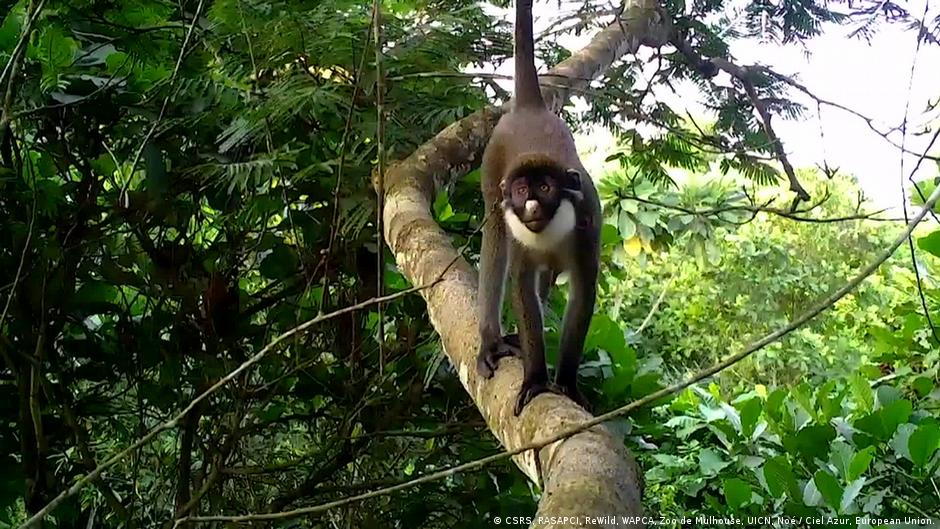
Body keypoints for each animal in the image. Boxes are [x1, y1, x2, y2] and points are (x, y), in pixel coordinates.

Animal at [476, 0, 601, 416]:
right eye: (520, 191)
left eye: (545, 188)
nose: (530, 205)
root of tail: (529, 108)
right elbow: (521, 286)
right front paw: (534, 378)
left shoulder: (588, 224)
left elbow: (582, 293)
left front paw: (566, 382)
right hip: (490, 169)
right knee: (495, 236)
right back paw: (491, 341)